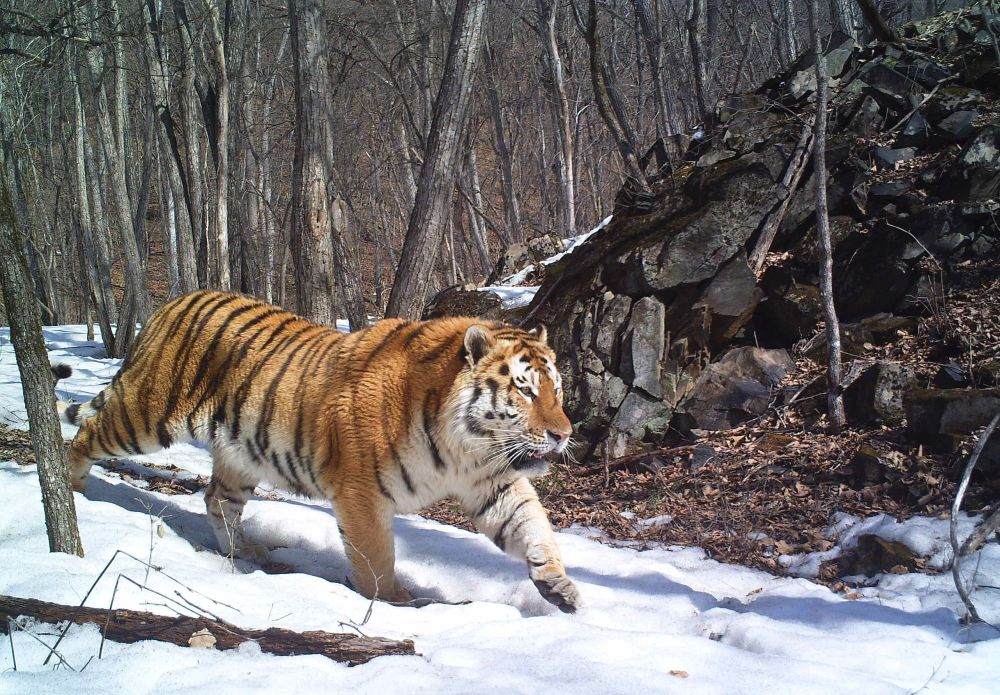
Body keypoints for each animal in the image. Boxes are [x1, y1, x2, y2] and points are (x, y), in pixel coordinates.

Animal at [58, 290, 584, 612]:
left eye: (556, 390)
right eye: (525, 390)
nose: (564, 433)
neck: (465, 446)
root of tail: (171, 303)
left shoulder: (492, 481)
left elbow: (533, 528)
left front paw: (558, 585)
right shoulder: (361, 492)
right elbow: (375, 558)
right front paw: (395, 603)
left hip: (240, 454)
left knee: (216, 500)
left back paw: (244, 552)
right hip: (146, 414)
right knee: (86, 435)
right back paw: (72, 489)